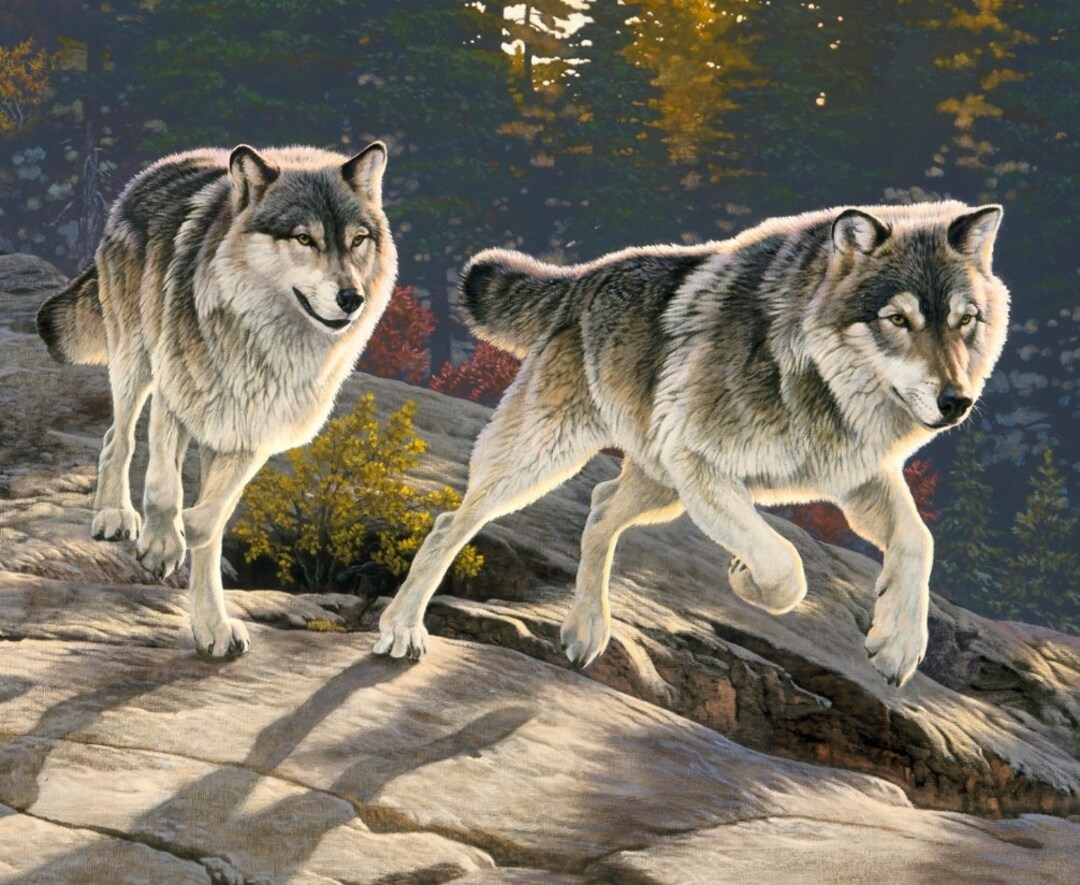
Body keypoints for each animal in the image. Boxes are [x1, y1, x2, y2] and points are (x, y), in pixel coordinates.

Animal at [37, 143, 397, 656]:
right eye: (303, 239)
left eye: (357, 240)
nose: (352, 298)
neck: (263, 346)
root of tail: (157, 169)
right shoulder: (173, 392)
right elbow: (163, 487)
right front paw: (162, 542)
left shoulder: (250, 436)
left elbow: (212, 520)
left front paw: (190, 557)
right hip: (135, 361)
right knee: (116, 439)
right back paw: (114, 515)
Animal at [374, 201, 1008, 687]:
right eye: (898, 320)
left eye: (965, 320)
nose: (957, 402)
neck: (810, 376)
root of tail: (586, 277)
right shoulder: (701, 467)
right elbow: (786, 567)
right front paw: (746, 578)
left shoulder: (855, 477)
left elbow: (919, 540)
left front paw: (898, 645)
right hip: (546, 459)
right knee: (449, 525)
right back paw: (402, 628)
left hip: (659, 487)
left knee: (599, 507)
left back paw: (585, 630)